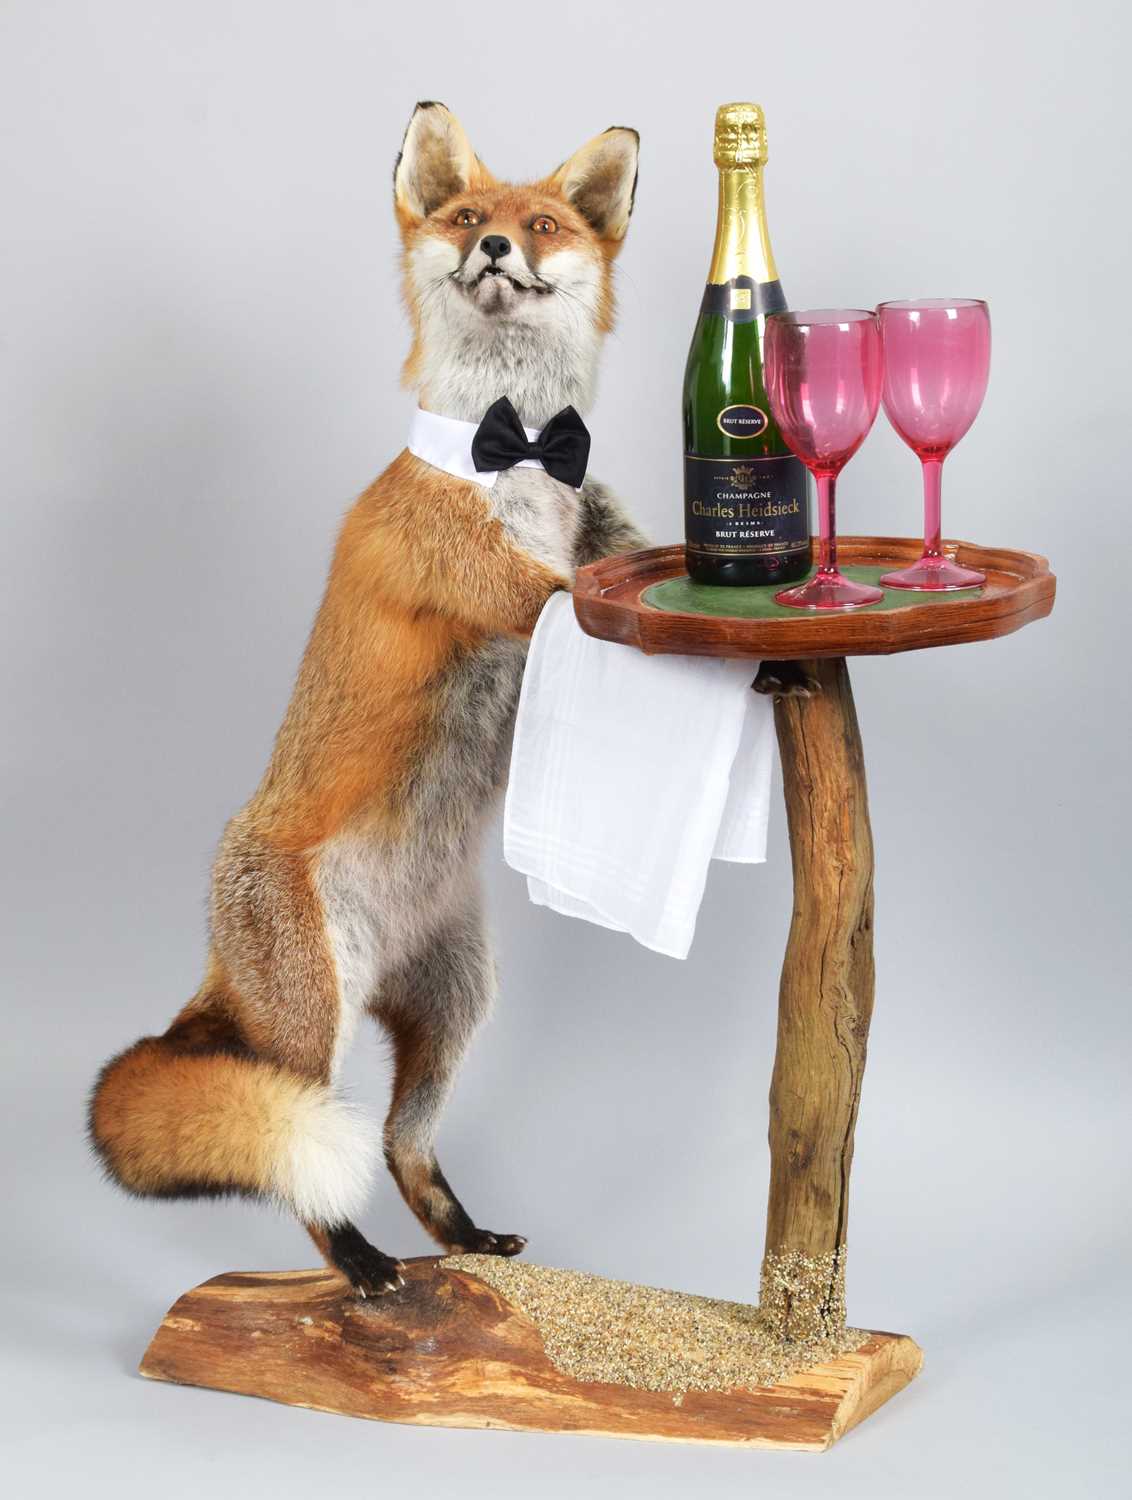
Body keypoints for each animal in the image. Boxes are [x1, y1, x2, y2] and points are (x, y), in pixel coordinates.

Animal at [88, 102, 649, 1297]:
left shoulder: (595, 521)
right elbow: (562, 591)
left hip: (457, 1002)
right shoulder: (481, 576)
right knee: (312, 1169)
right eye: (466, 217)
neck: (520, 456)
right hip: (316, 1034)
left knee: (402, 1145)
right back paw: (359, 1263)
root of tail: (220, 963)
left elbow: (618, 555)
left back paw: (463, 1240)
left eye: (543, 224)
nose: (497, 245)